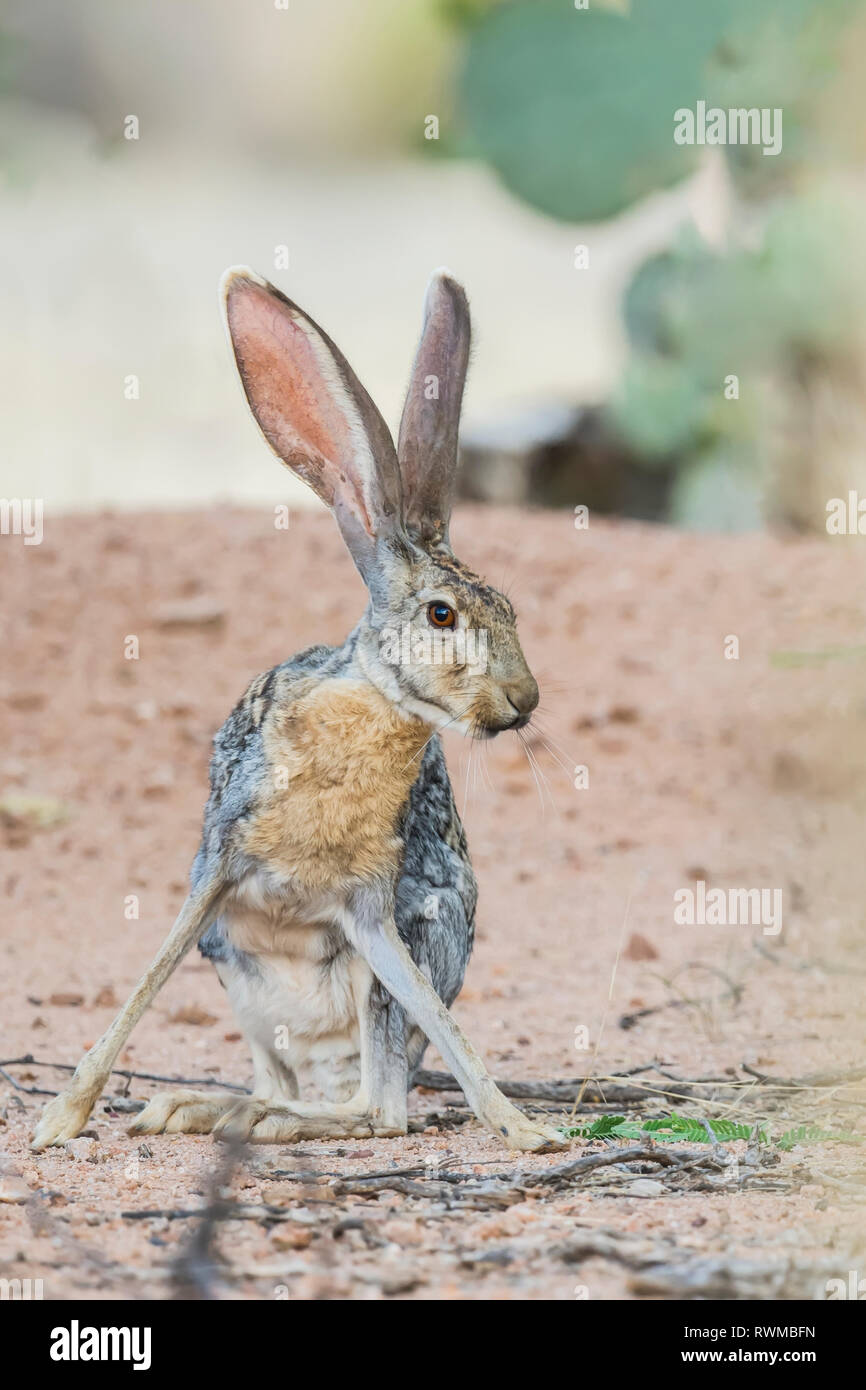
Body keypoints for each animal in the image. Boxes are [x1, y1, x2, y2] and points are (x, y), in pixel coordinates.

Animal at [32, 267, 568, 1153]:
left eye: (513, 611)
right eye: (443, 614)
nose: (523, 703)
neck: (375, 709)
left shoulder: (375, 910)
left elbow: (445, 1035)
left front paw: (522, 1129)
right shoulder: (219, 868)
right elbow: (144, 982)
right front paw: (59, 1120)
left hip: (404, 941)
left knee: (375, 1105)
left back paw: (253, 1117)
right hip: (235, 969)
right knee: (308, 1084)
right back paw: (205, 1107)